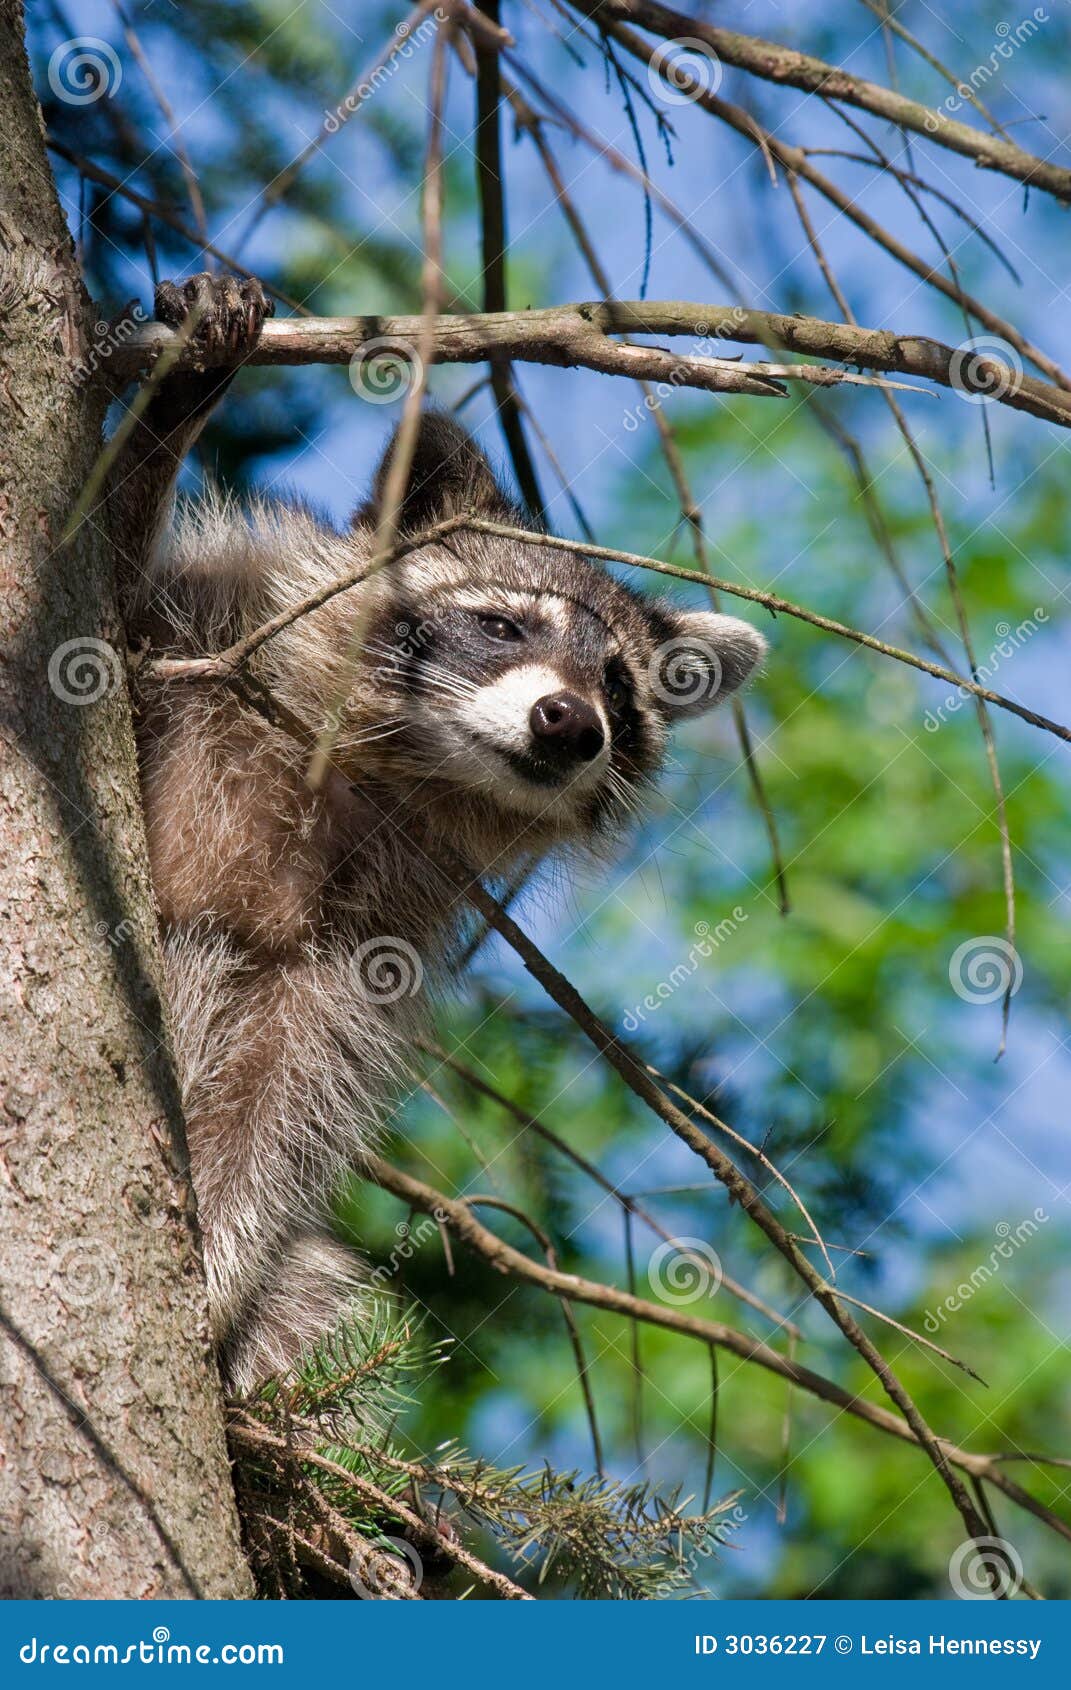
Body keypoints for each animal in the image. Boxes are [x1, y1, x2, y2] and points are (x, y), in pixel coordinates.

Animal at [109, 275, 766, 1391]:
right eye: (503, 625)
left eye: (620, 689)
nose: (570, 722)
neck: (380, 769)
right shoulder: (195, 629)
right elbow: (83, 603)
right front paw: (169, 410)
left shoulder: (356, 951)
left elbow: (274, 1122)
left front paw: (216, 1273)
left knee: (309, 1283)